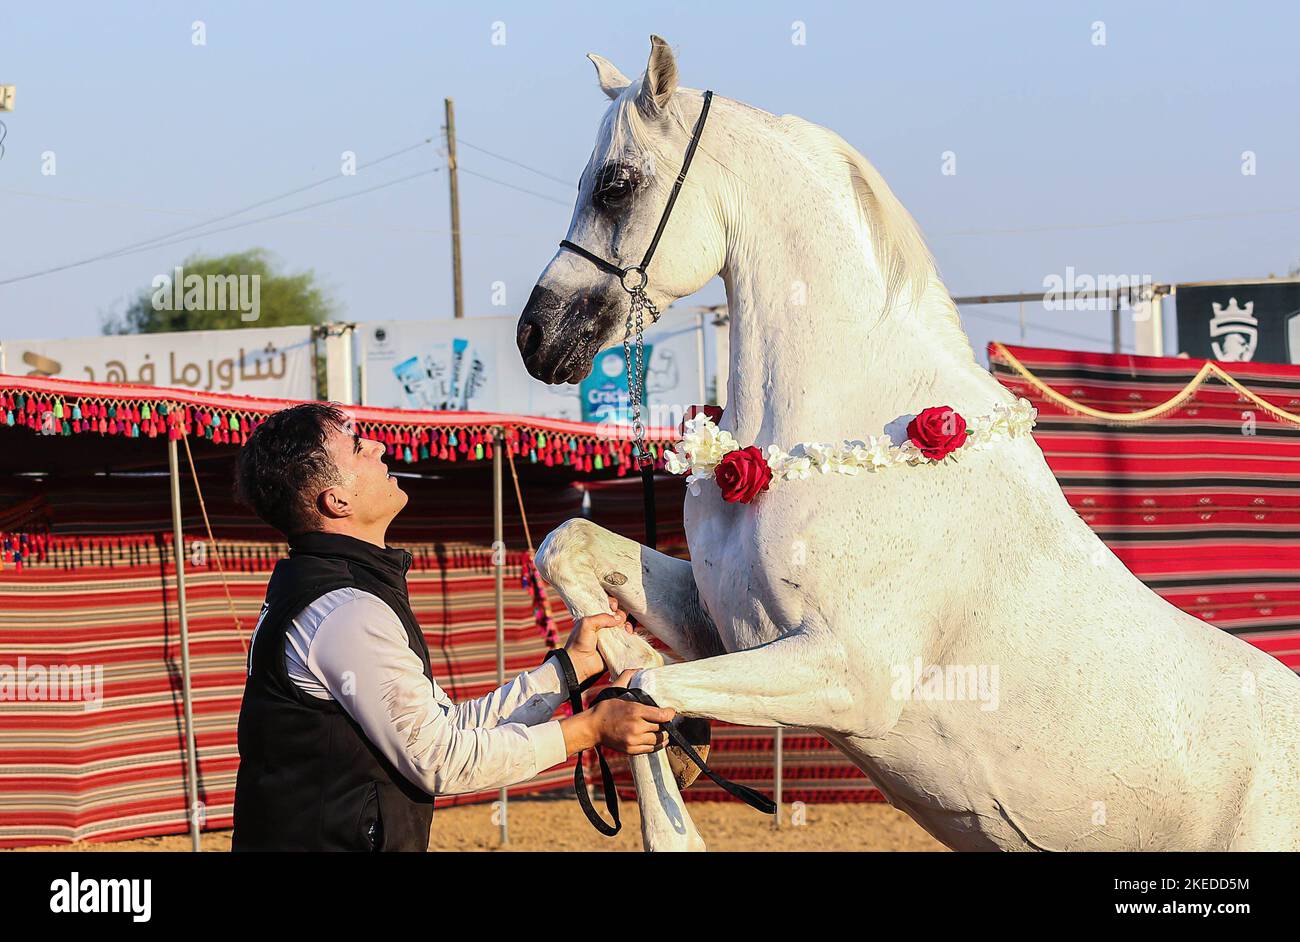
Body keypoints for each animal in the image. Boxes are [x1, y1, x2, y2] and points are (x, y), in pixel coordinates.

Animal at [515, 35, 1300, 851]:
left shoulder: (846, 675)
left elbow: (644, 686)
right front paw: (660, 706)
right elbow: (573, 553)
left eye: (615, 185)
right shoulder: (724, 627)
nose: (536, 336)